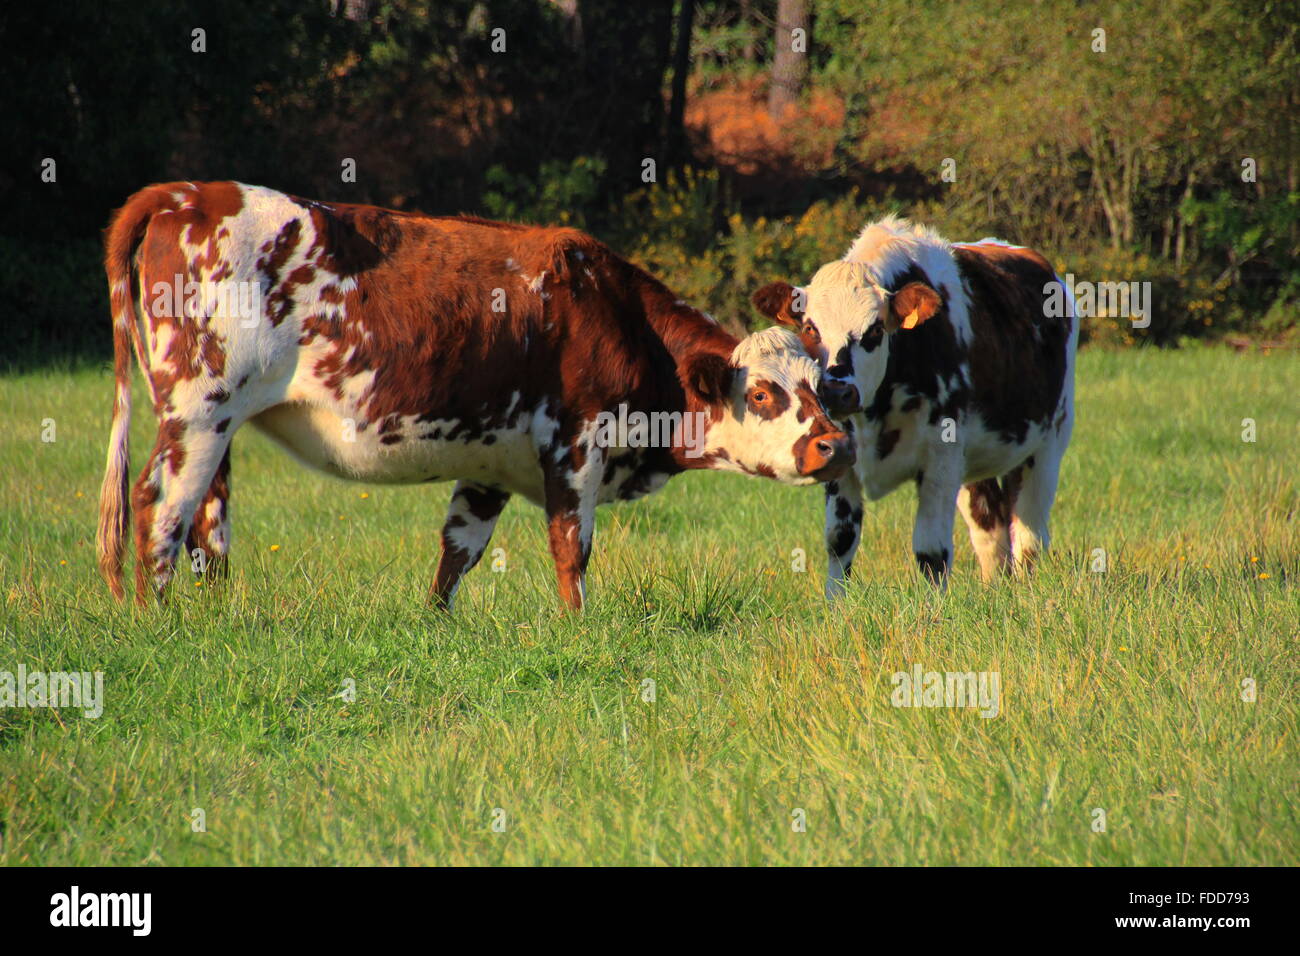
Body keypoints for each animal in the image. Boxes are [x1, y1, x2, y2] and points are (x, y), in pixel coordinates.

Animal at [97, 182, 854, 611]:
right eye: (763, 394)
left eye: (819, 384)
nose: (834, 444)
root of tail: (186, 191)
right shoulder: (576, 445)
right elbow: (571, 547)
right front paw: (580, 629)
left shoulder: (488, 464)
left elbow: (457, 551)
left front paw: (434, 626)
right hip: (200, 412)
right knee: (160, 509)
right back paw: (156, 624)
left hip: (219, 426)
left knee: (208, 524)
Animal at [751, 216, 1076, 596]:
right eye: (809, 328)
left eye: (875, 330)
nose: (835, 392)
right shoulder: (838, 454)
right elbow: (839, 541)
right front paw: (836, 606)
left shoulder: (941, 455)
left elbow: (931, 551)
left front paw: (934, 608)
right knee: (990, 526)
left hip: (1048, 443)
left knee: (1029, 536)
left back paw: (1023, 593)